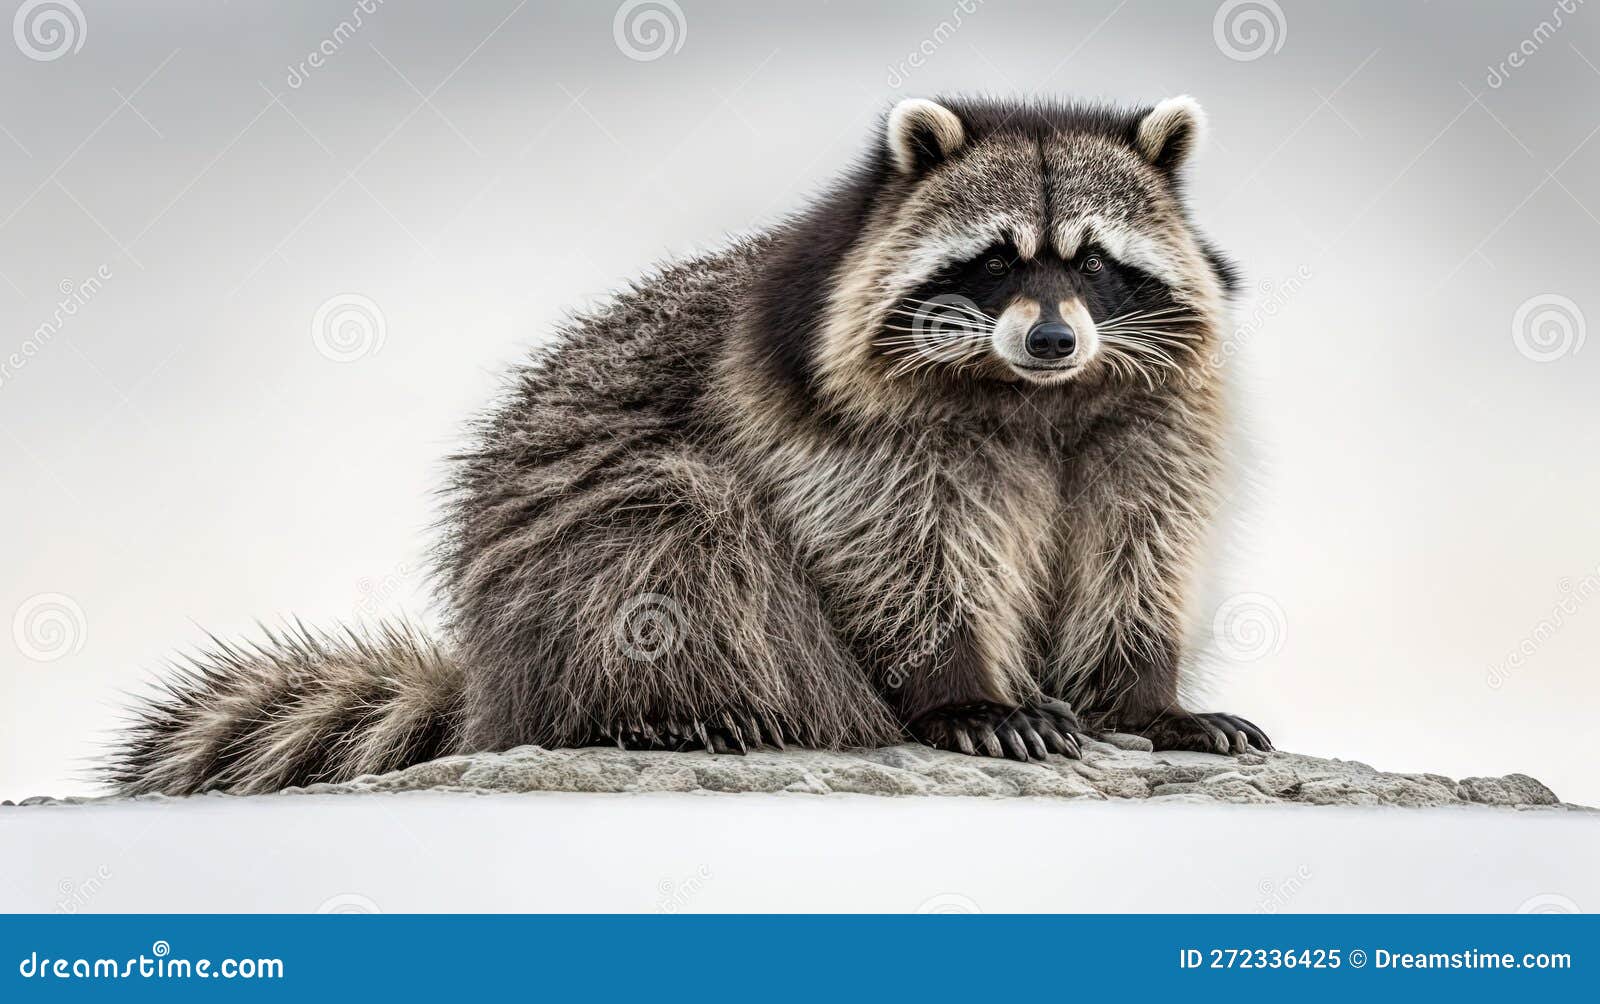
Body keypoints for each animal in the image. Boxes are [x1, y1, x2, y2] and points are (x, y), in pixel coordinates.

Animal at [106, 95, 1270, 797]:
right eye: (993, 261)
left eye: (1095, 264)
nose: (1050, 338)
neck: (1033, 398)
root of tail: (492, 686)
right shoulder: (847, 421)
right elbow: (902, 548)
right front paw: (962, 688)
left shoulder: (1159, 419)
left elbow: (1140, 546)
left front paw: (1144, 696)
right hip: (570, 566)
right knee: (672, 523)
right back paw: (663, 706)